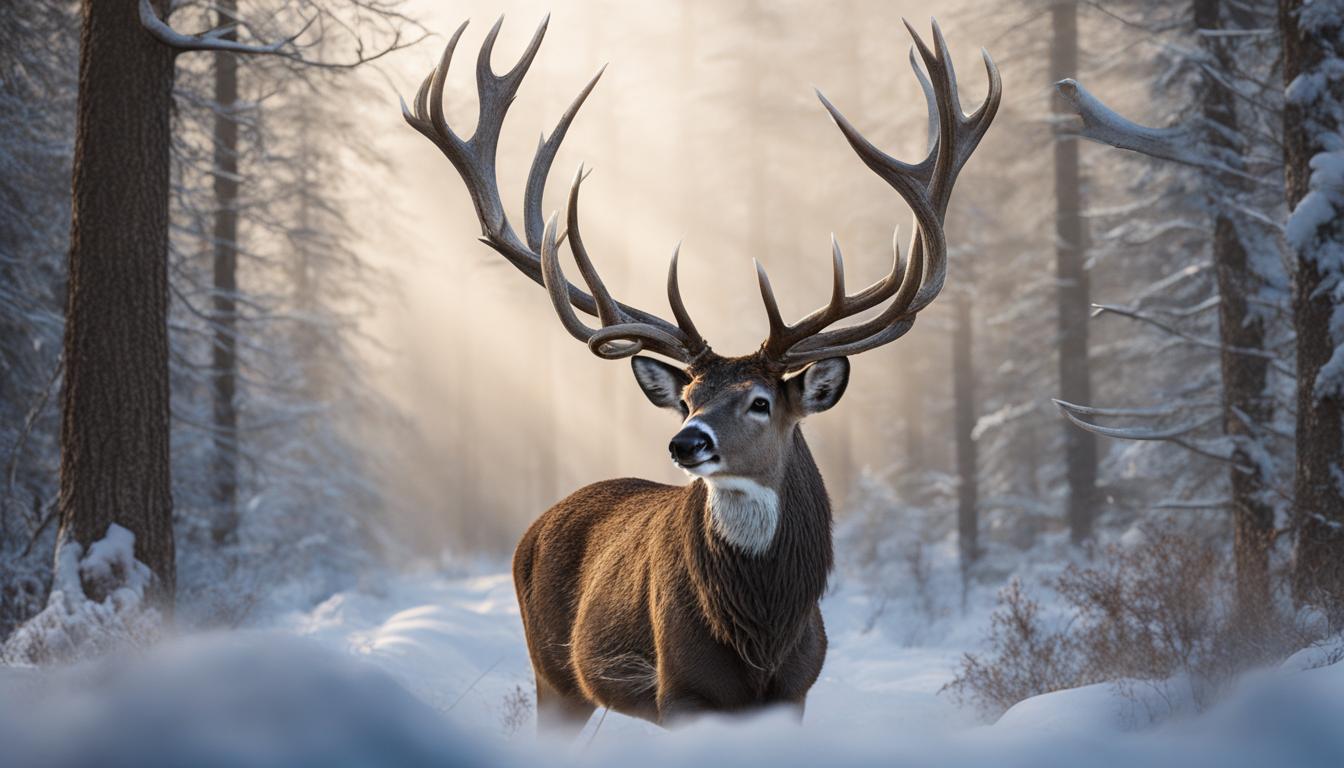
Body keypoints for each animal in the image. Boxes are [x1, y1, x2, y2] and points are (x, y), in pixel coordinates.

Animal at [402, 16, 999, 732]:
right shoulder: (682, 690)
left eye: (761, 401)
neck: (762, 634)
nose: (686, 441)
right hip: (554, 674)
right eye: (687, 397)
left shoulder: (796, 692)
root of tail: (536, 525)